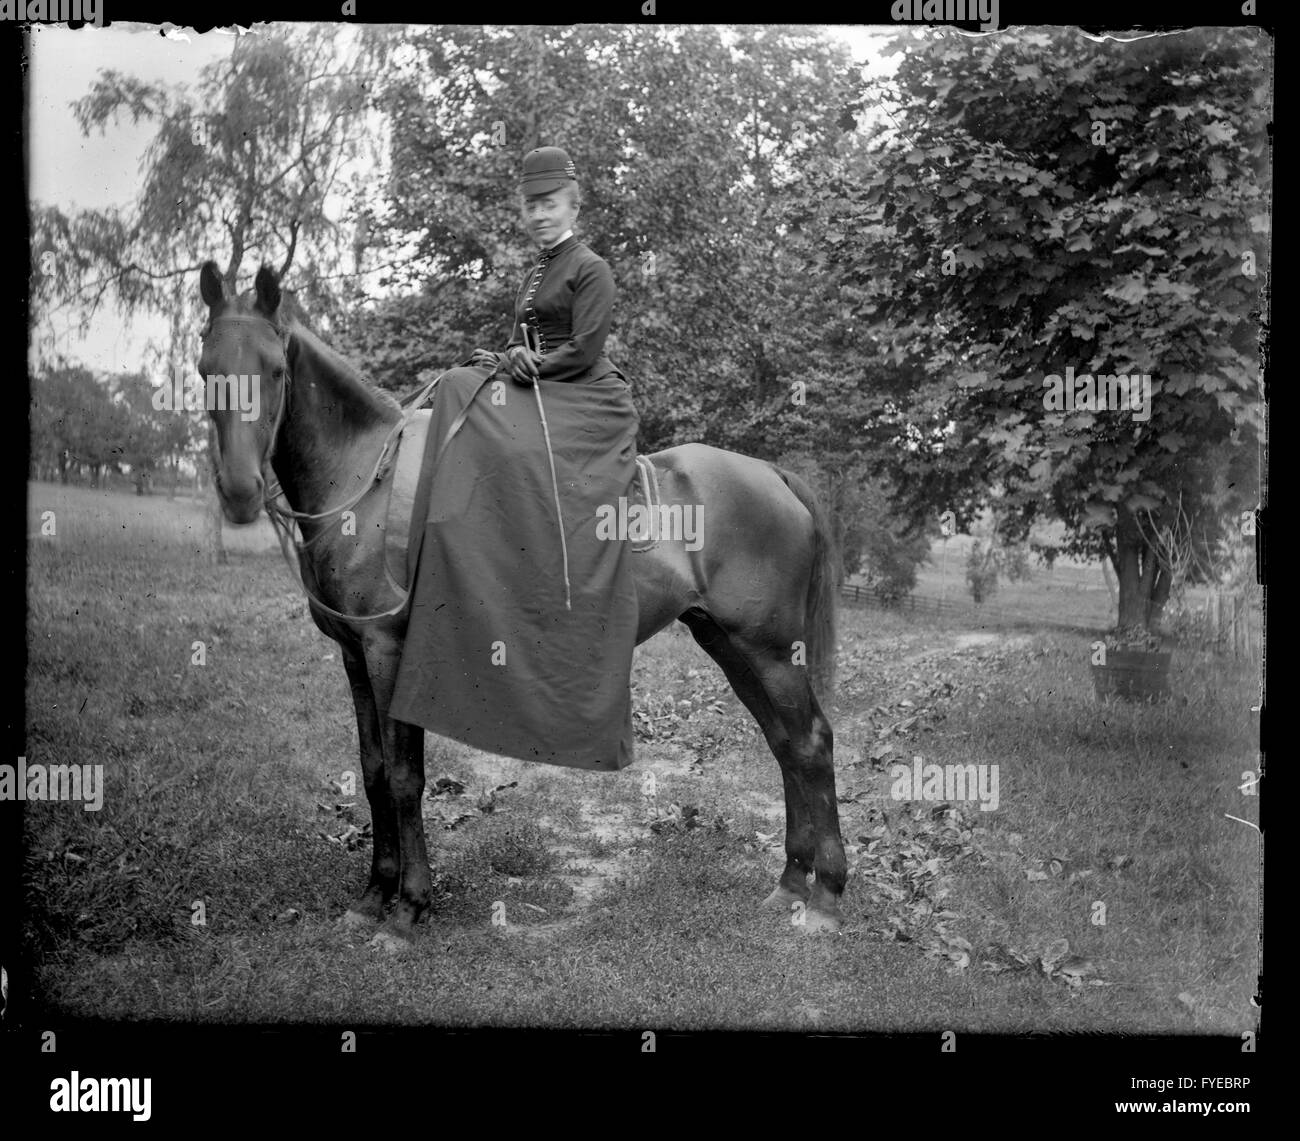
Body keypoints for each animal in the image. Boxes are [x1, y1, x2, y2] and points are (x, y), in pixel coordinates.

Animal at [198, 260, 848, 947]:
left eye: (274, 370)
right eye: (205, 369)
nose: (237, 490)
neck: (366, 483)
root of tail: (772, 474)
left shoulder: (388, 651)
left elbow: (404, 778)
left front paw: (409, 908)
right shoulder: (354, 657)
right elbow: (372, 773)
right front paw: (373, 895)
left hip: (770, 651)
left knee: (810, 742)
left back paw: (826, 895)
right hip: (729, 645)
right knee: (784, 744)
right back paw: (791, 884)